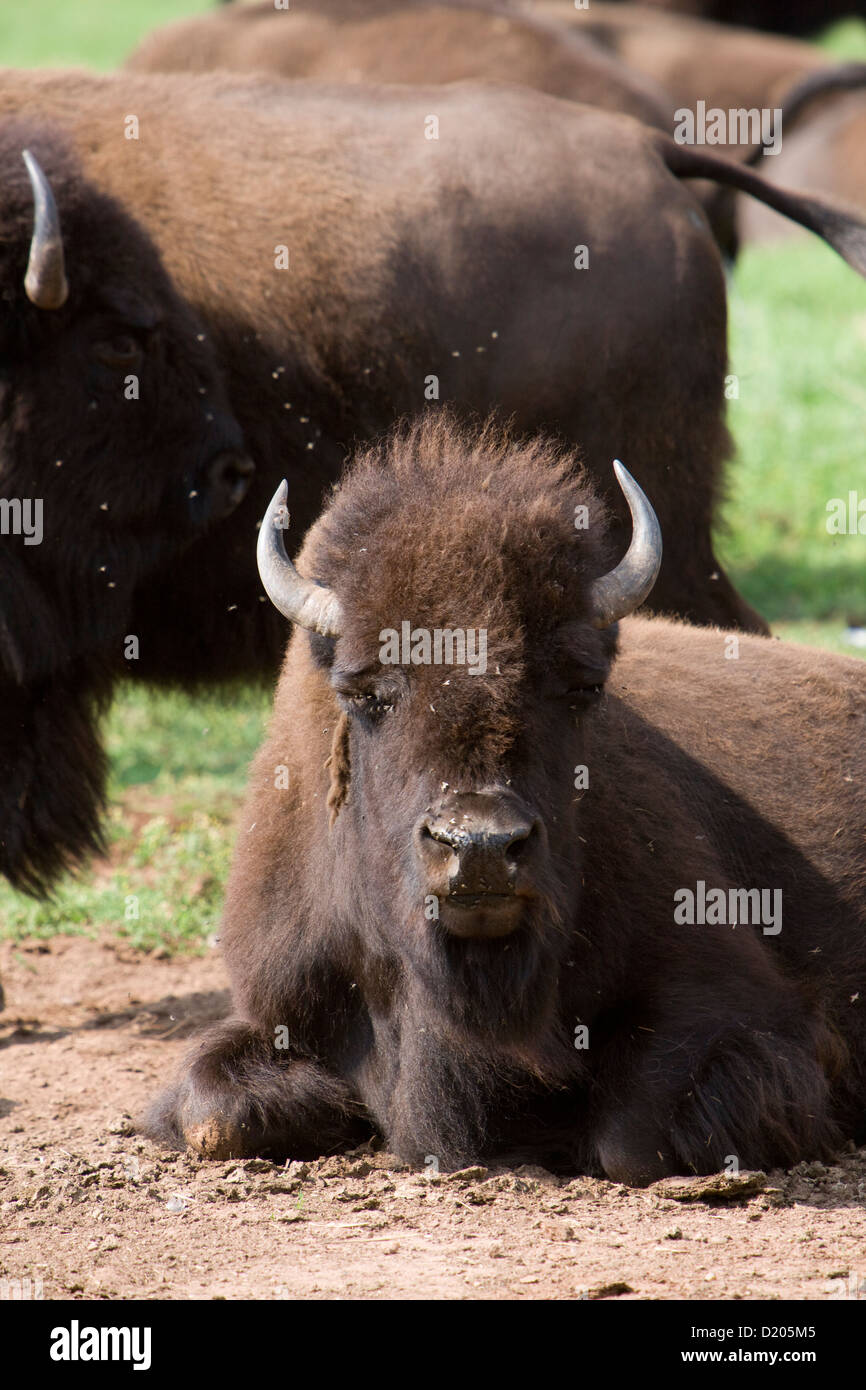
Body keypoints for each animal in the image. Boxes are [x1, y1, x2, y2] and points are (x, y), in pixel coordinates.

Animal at [145, 415, 866, 1180]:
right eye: (366, 691)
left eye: (582, 685)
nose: (482, 846)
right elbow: (214, 1115)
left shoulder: (732, 1001)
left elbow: (633, 1137)